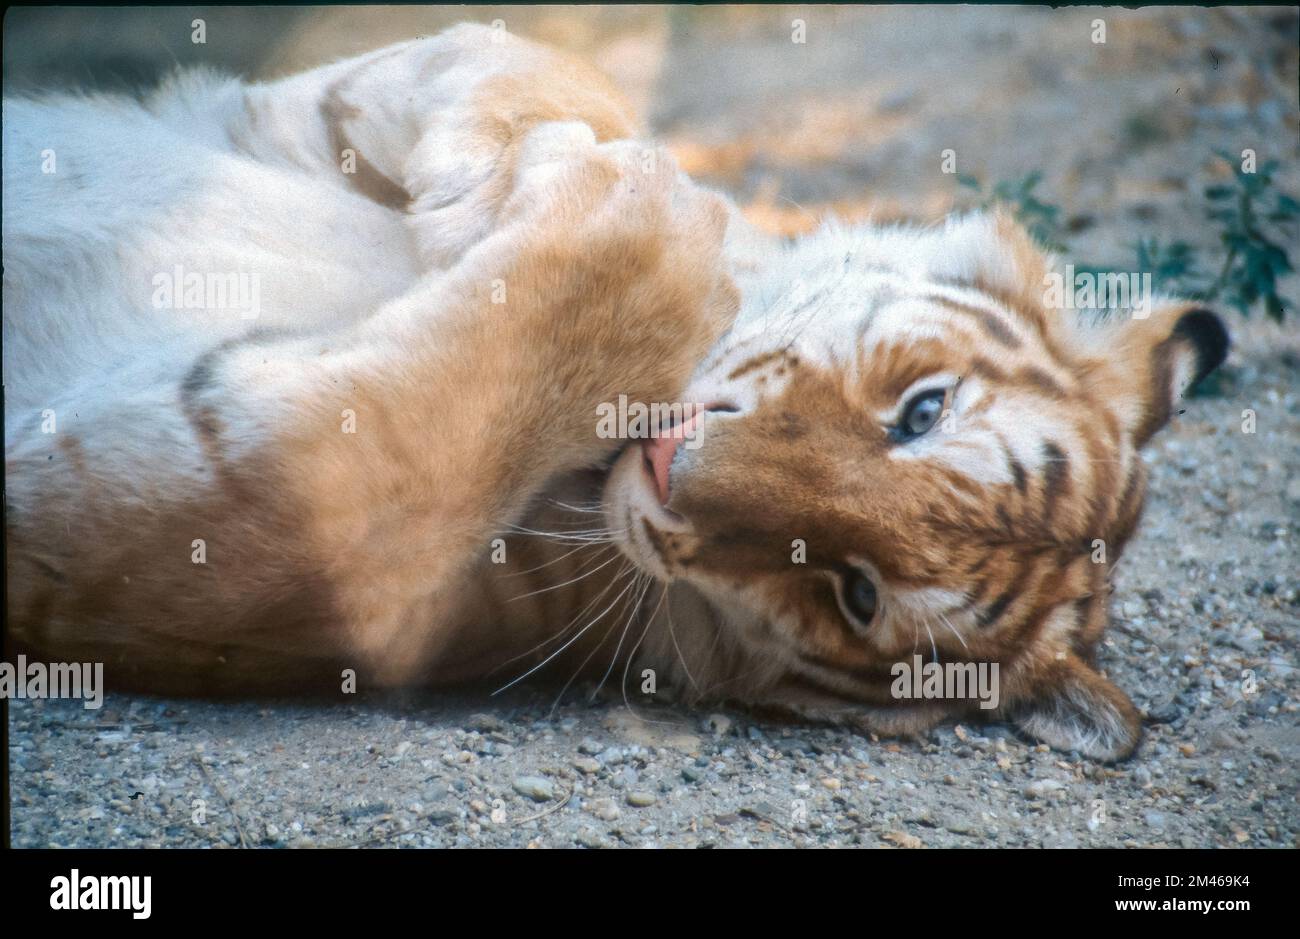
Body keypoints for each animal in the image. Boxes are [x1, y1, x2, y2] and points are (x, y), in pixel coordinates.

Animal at [3, 23, 1227, 761]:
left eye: (854, 594)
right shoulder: (280, 114)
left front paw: (634, 232)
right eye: (920, 413)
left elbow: (399, 441)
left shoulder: (270, 556)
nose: (675, 469)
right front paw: (509, 182)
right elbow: (527, 64)